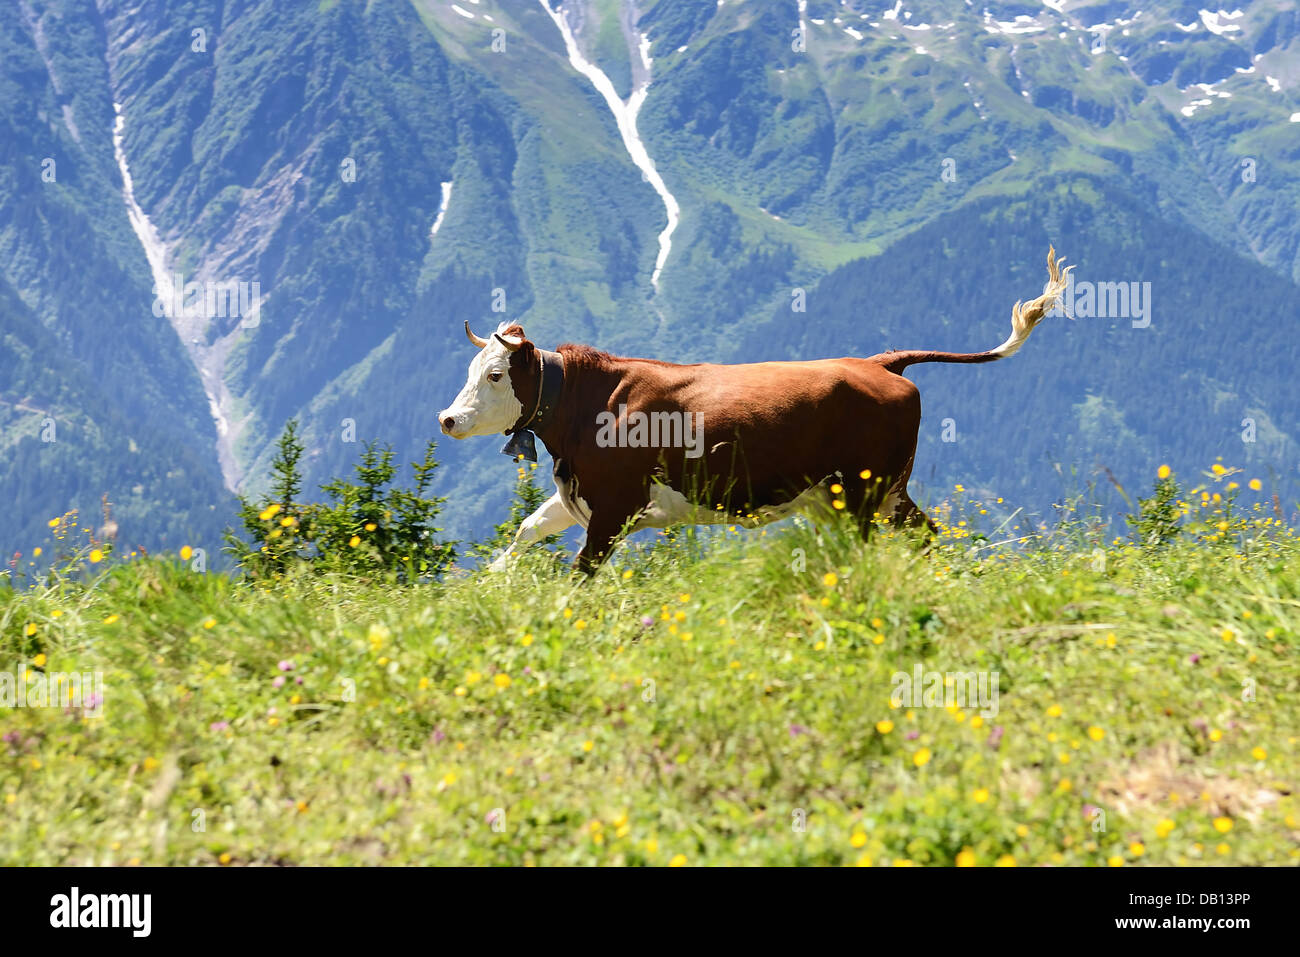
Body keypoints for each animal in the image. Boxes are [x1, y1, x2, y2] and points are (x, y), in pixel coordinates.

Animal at [440, 247, 1072, 575]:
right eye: (470, 370)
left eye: (495, 375)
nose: (447, 420)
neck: (591, 404)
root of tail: (877, 362)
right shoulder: (582, 496)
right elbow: (528, 528)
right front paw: (491, 580)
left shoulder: (615, 505)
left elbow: (582, 571)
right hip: (871, 494)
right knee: (927, 533)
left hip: (863, 494)